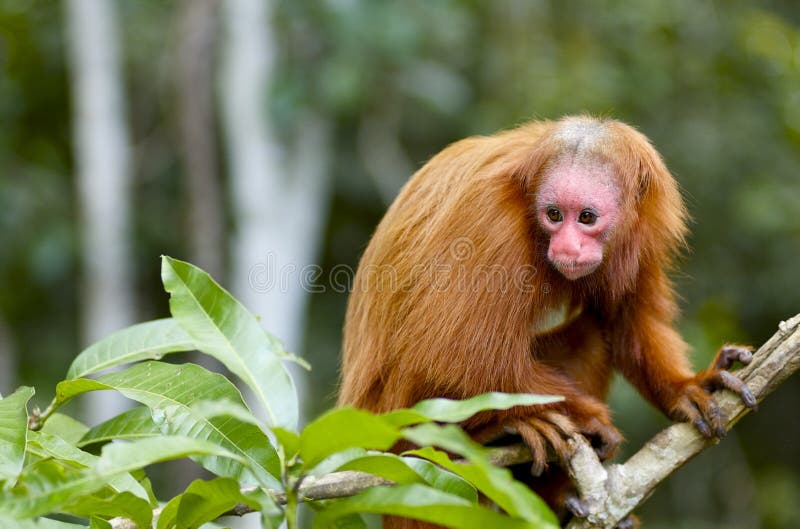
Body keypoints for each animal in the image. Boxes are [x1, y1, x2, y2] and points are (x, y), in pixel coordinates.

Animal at [338, 115, 756, 528]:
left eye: (586, 218)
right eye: (554, 215)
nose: (566, 247)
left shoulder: (640, 236)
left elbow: (625, 323)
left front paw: (685, 388)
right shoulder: (488, 224)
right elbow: (446, 354)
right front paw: (589, 417)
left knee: (592, 330)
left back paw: (557, 496)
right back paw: (501, 433)